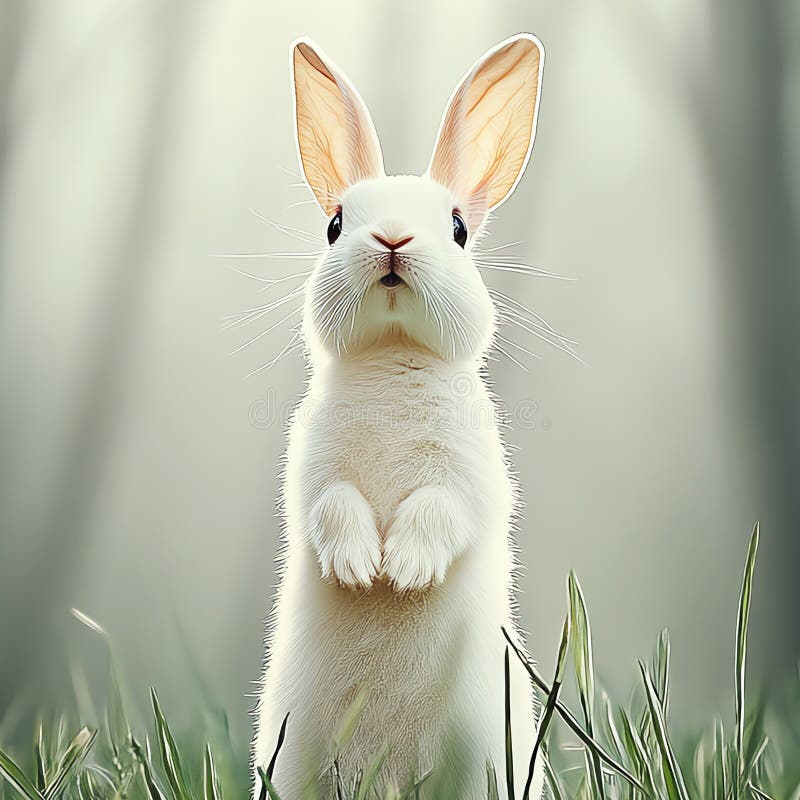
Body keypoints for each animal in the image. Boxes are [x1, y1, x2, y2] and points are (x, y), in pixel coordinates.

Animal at [252, 33, 546, 800]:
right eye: (334, 225)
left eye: (458, 229)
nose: (391, 240)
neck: (392, 354)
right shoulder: (314, 472)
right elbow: (333, 505)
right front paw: (361, 567)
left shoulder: (470, 477)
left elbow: (442, 508)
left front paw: (405, 570)